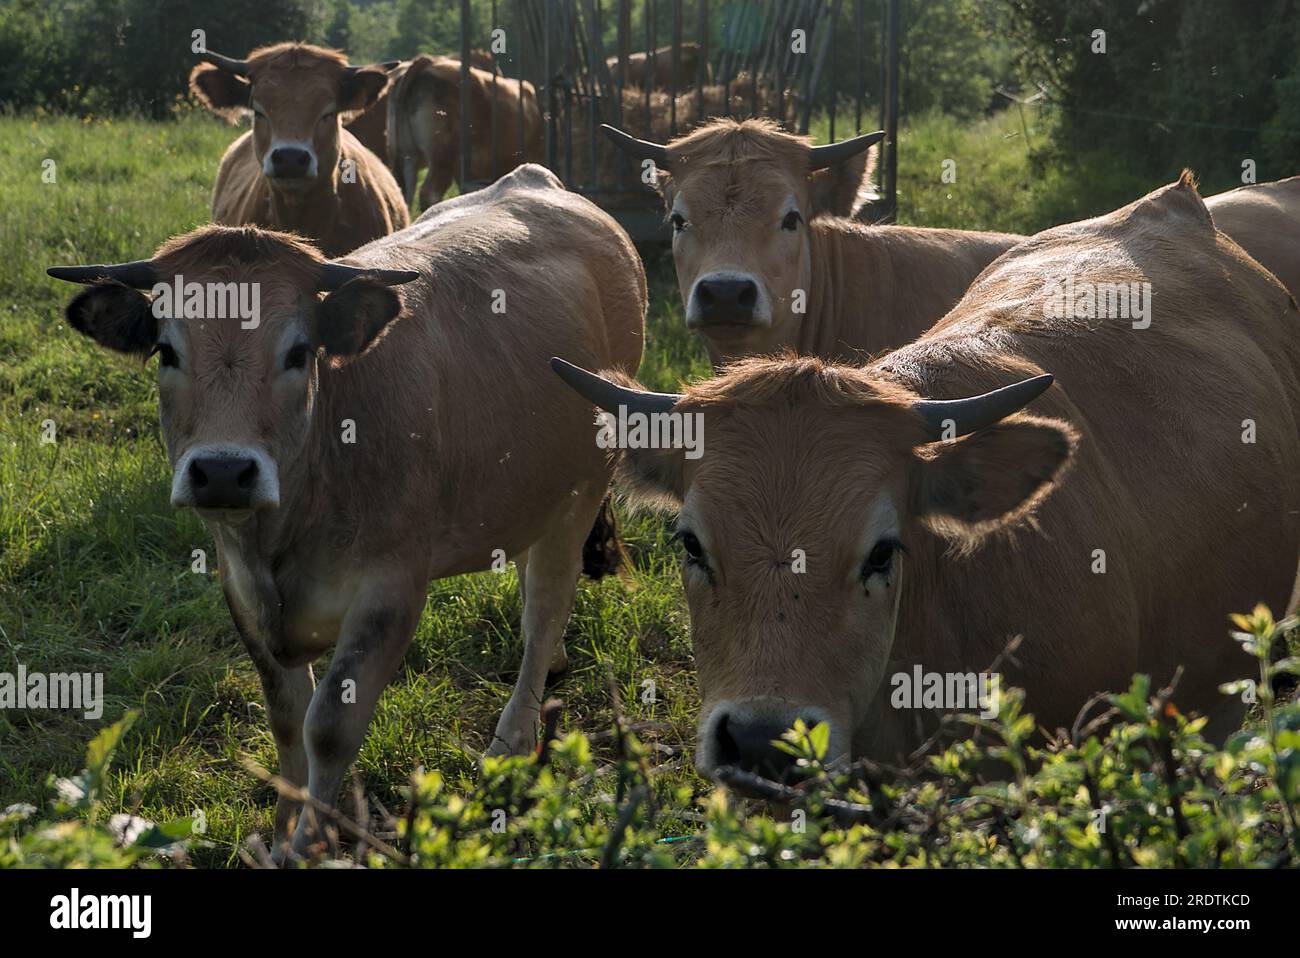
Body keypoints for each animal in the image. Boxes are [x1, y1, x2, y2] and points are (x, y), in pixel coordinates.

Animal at [47, 164, 646, 860]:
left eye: (298, 351)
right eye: (168, 351)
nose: (222, 470)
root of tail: (538, 181)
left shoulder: (391, 591)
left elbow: (328, 725)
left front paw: (308, 843)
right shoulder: (240, 588)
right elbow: (285, 719)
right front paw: (283, 828)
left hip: (584, 486)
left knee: (546, 607)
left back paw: (514, 735)